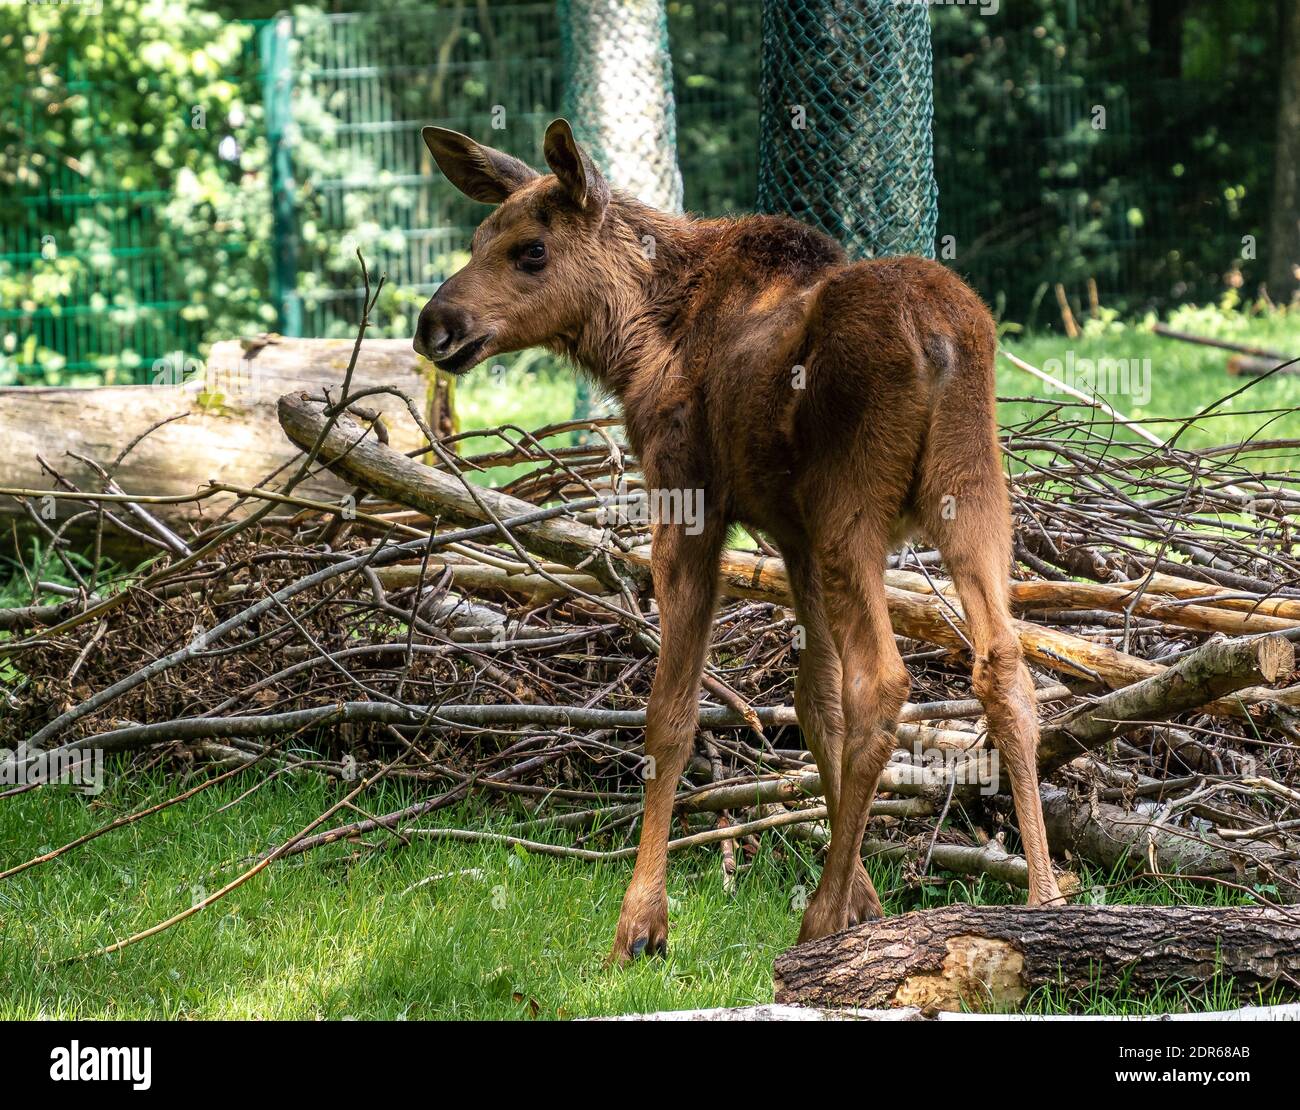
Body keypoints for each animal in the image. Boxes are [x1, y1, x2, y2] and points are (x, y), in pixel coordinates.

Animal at [413, 118, 1064, 965]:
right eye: (477, 238)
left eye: (530, 250)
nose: (434, 325)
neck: (634, 343)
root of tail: (938, 340)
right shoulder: (792, 533)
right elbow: (813, 701)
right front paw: (865, 902)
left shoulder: (689, 502)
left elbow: (673, 715)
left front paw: (642, 924)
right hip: (974, 493)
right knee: (1004, 665)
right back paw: (1045, 902)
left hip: (854, 507)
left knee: (885, 681)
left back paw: (816, 921)